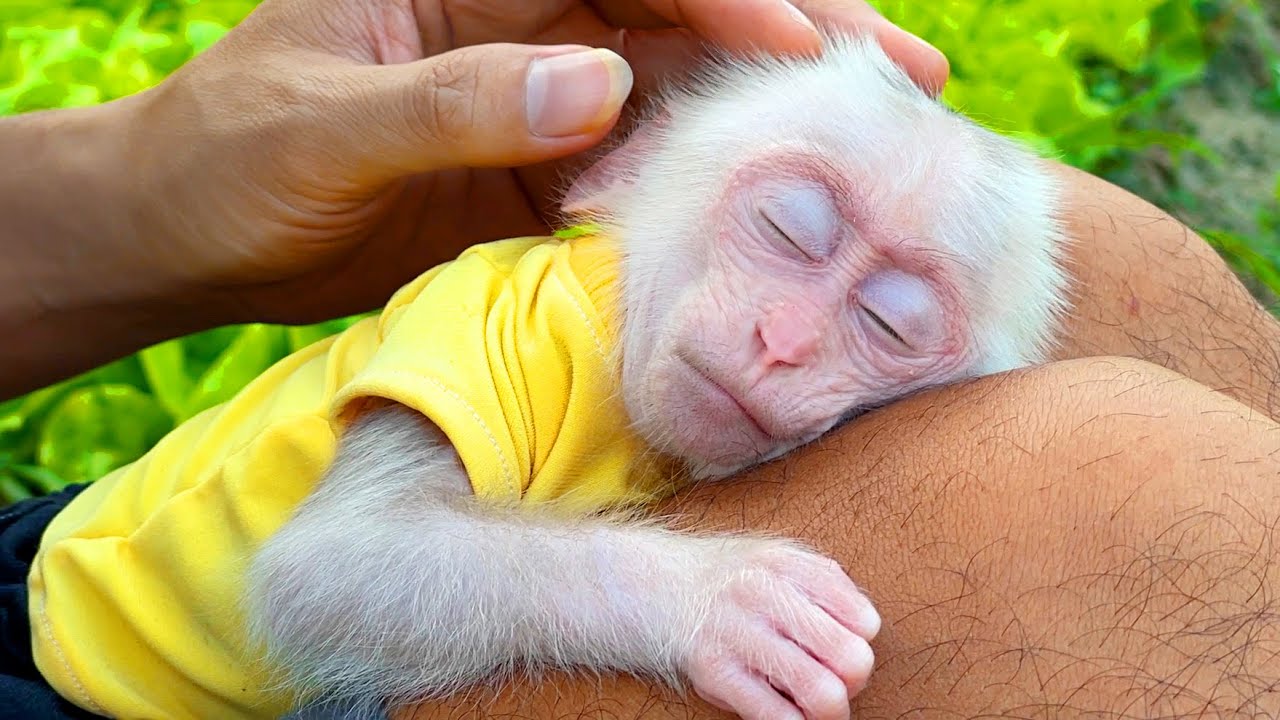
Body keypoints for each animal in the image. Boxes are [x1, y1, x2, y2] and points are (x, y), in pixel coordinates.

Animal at [18, 32, 1068, 720]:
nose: (785, 341)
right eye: (790, 229)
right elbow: (330, 565)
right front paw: (715, 600)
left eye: (889, 323)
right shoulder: (474, 328)